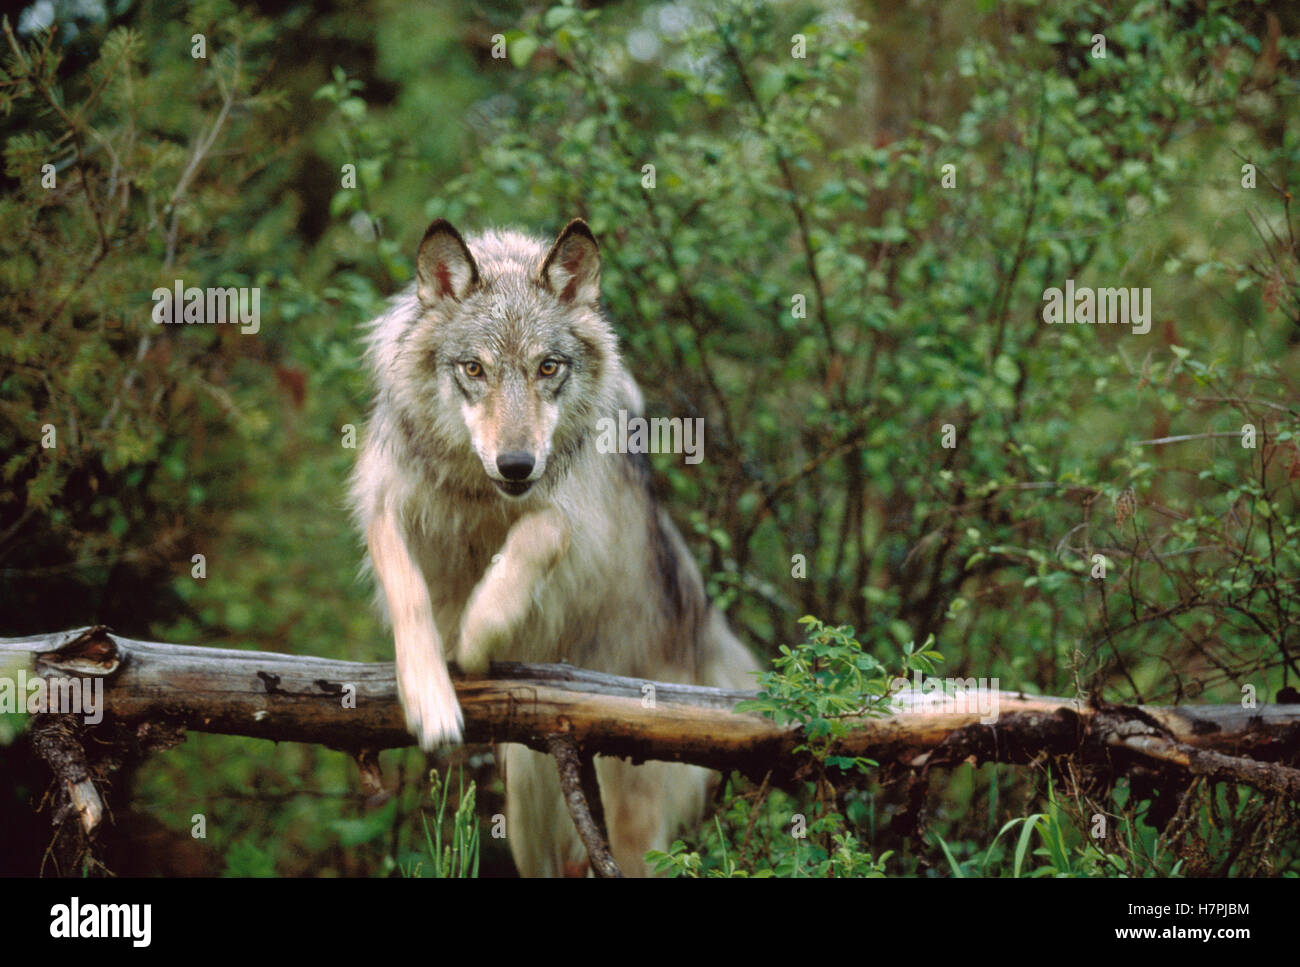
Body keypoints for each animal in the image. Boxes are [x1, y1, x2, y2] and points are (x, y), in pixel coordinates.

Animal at [349, 217, 759, 876]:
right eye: (474, 369)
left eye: (547, 367)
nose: (516, 464)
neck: (479, 493)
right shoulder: (384, 501)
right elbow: (409, 594)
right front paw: (430, 698)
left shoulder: (575, 515)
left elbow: (536, 540)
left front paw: (476, 636)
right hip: (529, 800)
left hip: (633, 822)